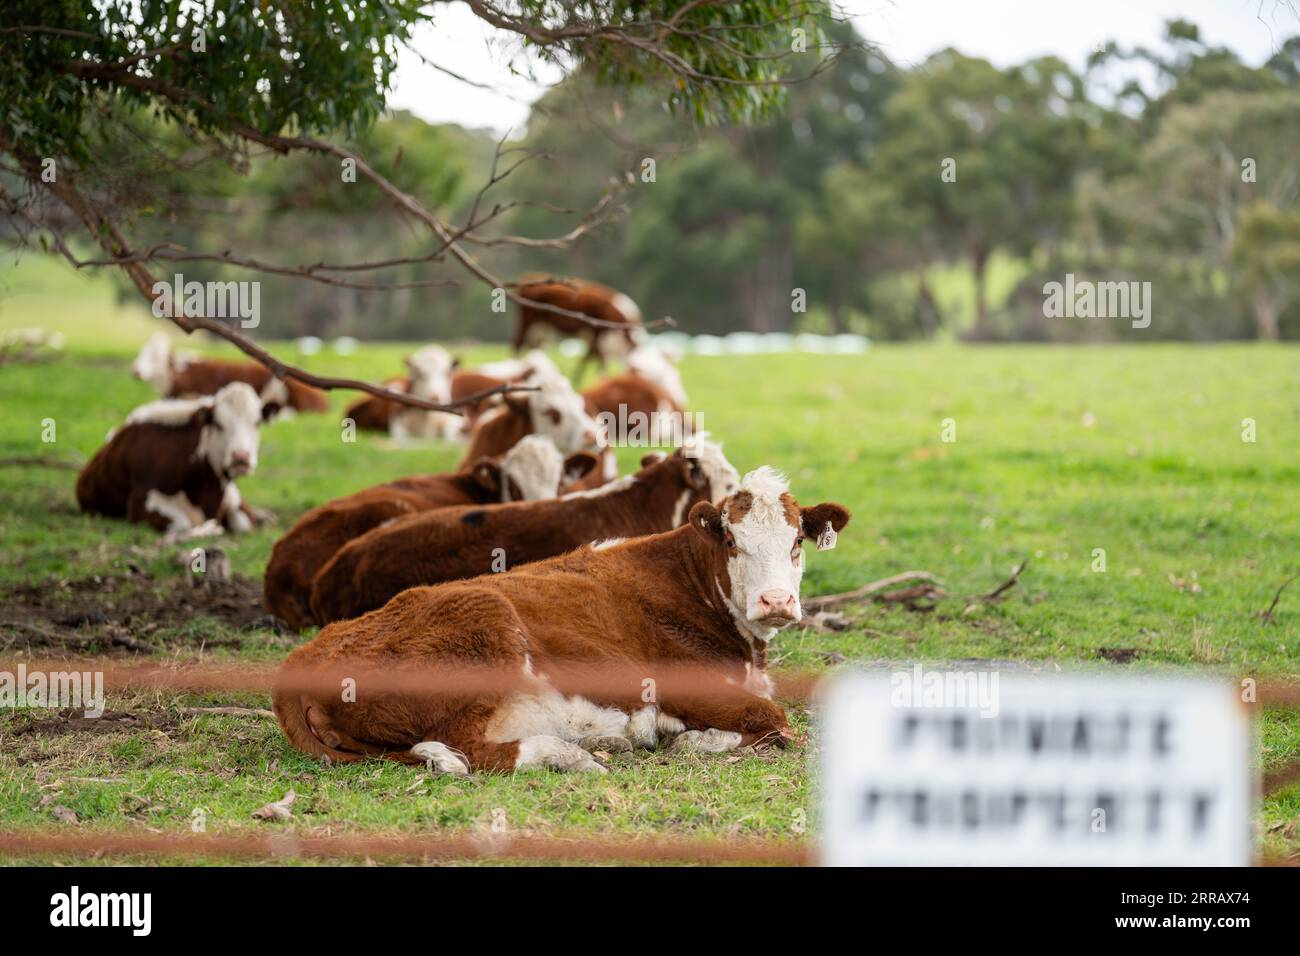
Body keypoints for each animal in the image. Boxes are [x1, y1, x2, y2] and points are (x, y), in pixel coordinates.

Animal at [76, 382, 274, 538]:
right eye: (218, 424)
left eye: (257, 423)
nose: (240, 457)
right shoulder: (141, 502)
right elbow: (182, 524)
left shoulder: (231, 496)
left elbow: (245, 523)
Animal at [273, 466, 851, 773]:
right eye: (731, 540)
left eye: (798, 541)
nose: (775, 601)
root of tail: (305, 656)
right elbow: (775, 722)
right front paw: (689, 738)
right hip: (488, 627)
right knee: (473, 749)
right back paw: (572, 755)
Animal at [513, 278, 644, 381]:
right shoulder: (597, 333)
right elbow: (599, 361)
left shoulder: (591, 337)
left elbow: (586, 358)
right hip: (528, 321)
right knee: (518, 343)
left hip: (542, 328)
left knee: (535, 346)